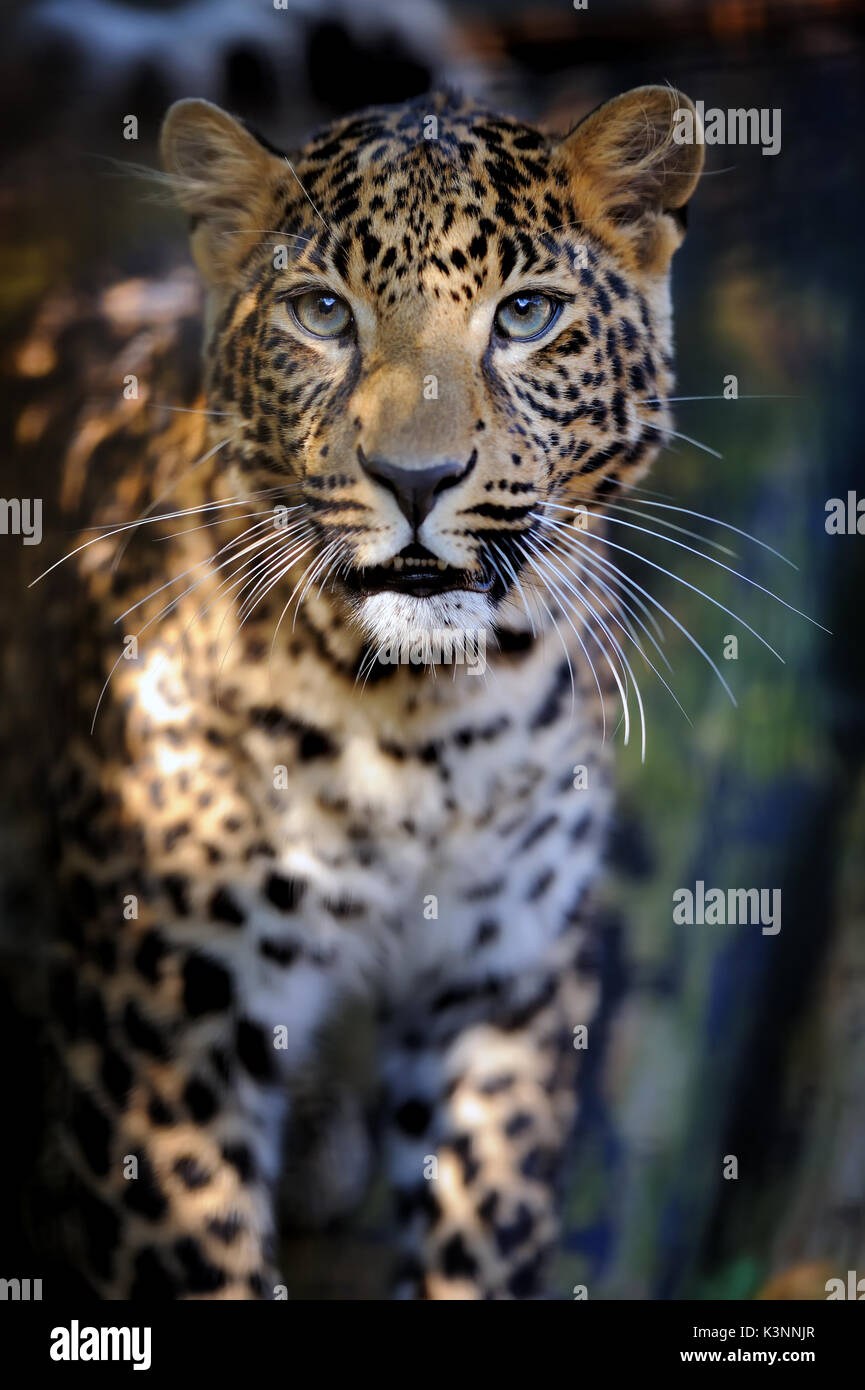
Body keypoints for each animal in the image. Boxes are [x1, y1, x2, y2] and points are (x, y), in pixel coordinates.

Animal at [10, 82, 704, 1300]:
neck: (420, 728)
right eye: (323, 314)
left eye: (526, 315)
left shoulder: (505, 979)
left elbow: (483, 1227)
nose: (415, 480)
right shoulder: (155, 1035)